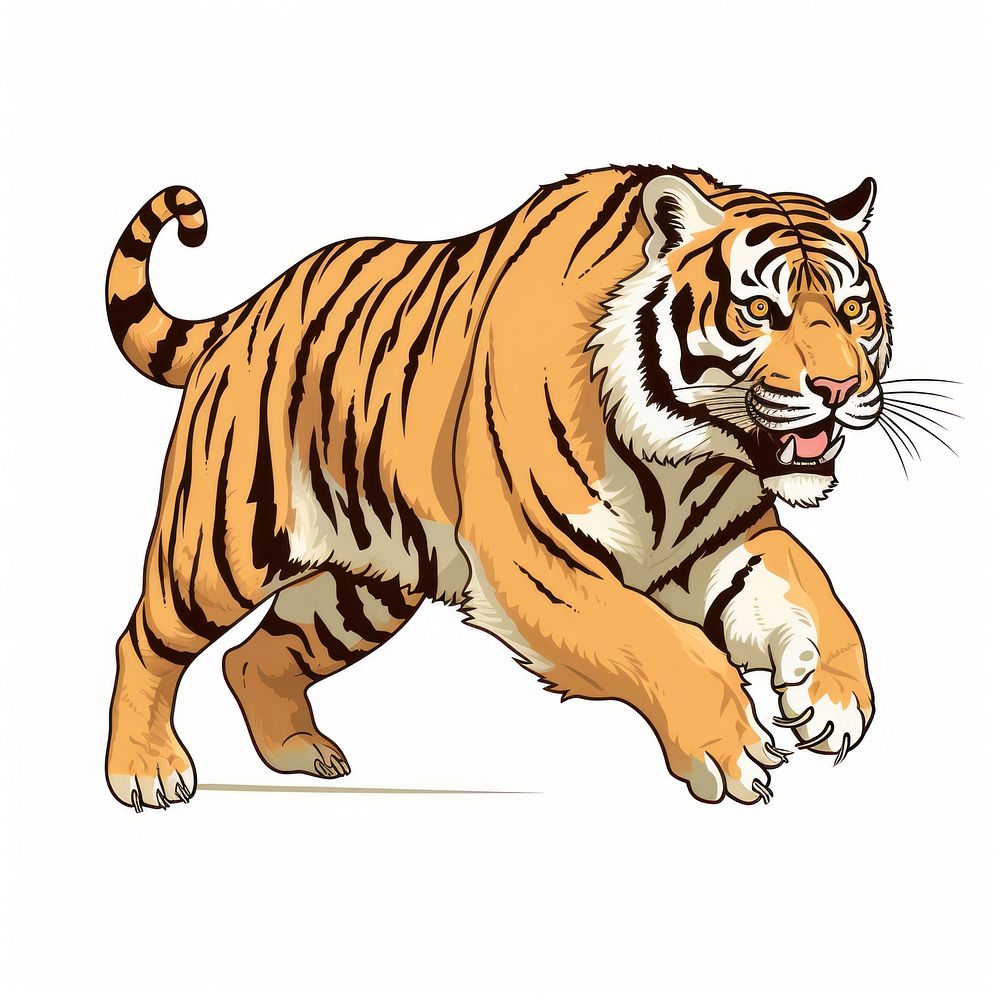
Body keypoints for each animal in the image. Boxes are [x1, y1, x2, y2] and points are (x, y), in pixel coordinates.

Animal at [105, 164, 887, 811]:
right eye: (759, 312)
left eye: (855, 312)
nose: (841, 386)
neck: (683, 454)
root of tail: (246, 310)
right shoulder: (538, 564)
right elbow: (661, 643)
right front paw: (736, 750)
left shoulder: (728, 540)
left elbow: (816, 594)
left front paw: (833, 699)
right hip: (220, 549)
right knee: (145, 641)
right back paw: (145, 772)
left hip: (365, 591)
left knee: (253, 657)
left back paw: (301, 752)